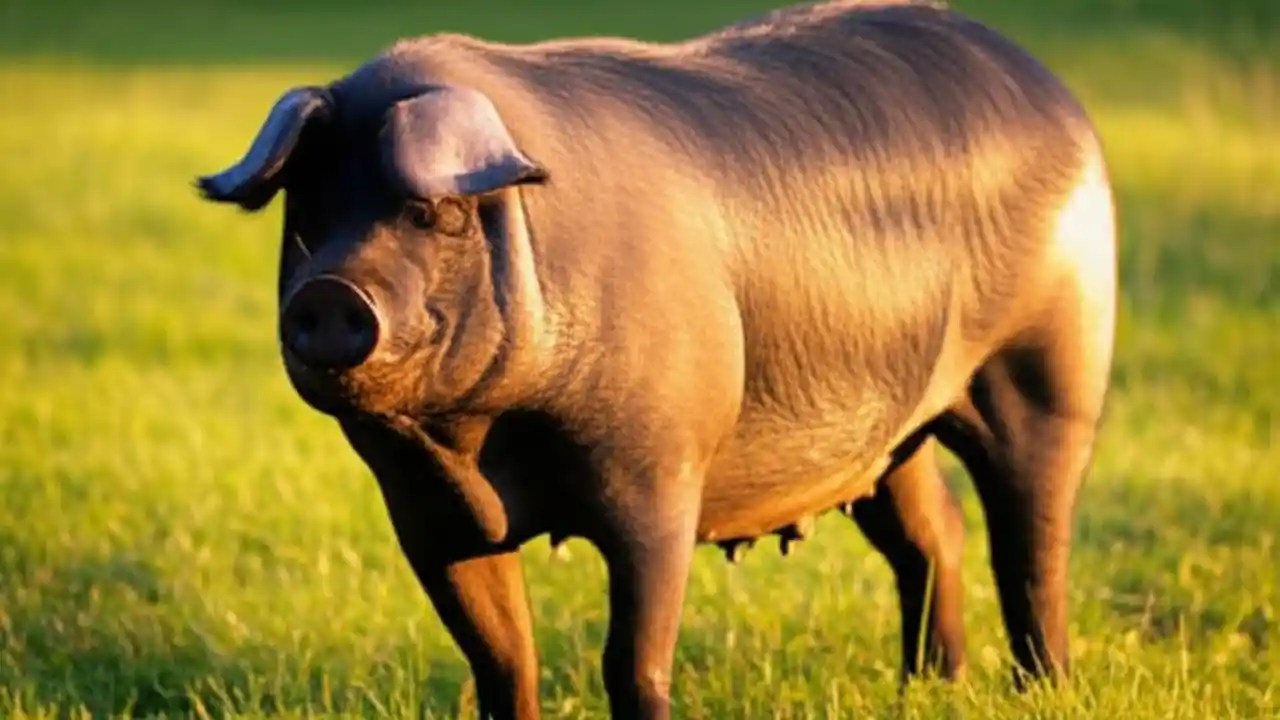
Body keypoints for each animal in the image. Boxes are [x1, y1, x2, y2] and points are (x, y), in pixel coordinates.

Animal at [196, 1, 1116, 717]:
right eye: (310, 210)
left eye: (434, 214)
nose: (329, 294)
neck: (484, 442)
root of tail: (1056, 95)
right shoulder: (425, 511)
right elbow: (501, 660)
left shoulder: (659, 470)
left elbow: (630, 659)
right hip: (892, 434)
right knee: (935, 536)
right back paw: (926, 689)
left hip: (1050, 364)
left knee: (1032, 545)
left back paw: (1043, 689)